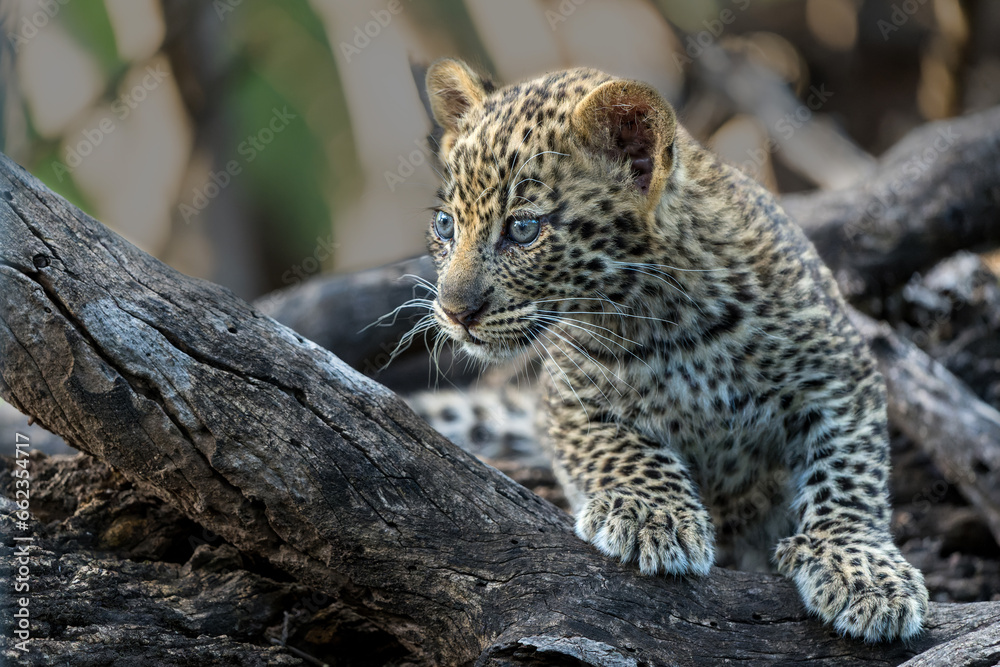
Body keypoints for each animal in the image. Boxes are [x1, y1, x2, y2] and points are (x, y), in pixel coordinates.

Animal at [417, 58, 928, 642]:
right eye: (445, 225)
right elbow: (618, 445)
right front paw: (649, 513)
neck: (667, 317)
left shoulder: (842, 376)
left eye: (524, 229)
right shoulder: (570, 399)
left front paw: (863, 571)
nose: (454, 312)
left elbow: (846, 477)